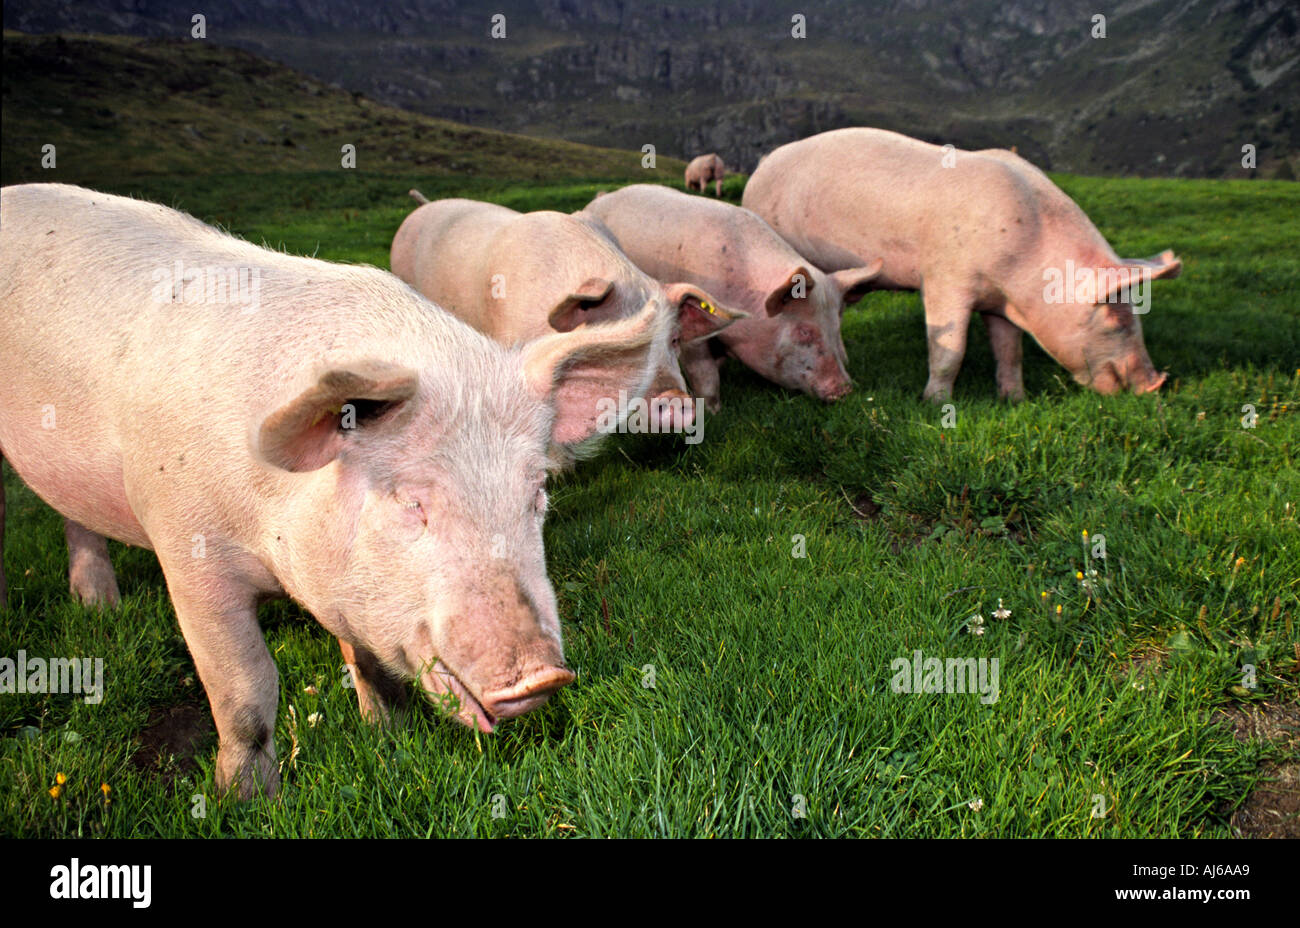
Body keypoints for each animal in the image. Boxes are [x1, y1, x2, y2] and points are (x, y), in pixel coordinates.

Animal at [0, 183, 676, 797]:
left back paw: (98, 607)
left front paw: (387, 736)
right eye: (410, 501)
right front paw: (247, 801)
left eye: (536, 493)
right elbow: (245, 688)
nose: (540, 677)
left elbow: (368, 659)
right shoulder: (186, 551)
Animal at [580, 184, 883, 410]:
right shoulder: (693, 334)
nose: (844, 390)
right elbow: (705, 376)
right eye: (804, 331)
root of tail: (599, 199)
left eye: (836, 328)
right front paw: (713, 412)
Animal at [742, 127, 1182, 401]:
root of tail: (762, 165)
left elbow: (1010, 351)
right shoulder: (945, 279)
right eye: (1117, 320)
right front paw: (934, 403)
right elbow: (951, 348)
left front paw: (1015, 400)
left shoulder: (1000, 303)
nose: (1155, 384)